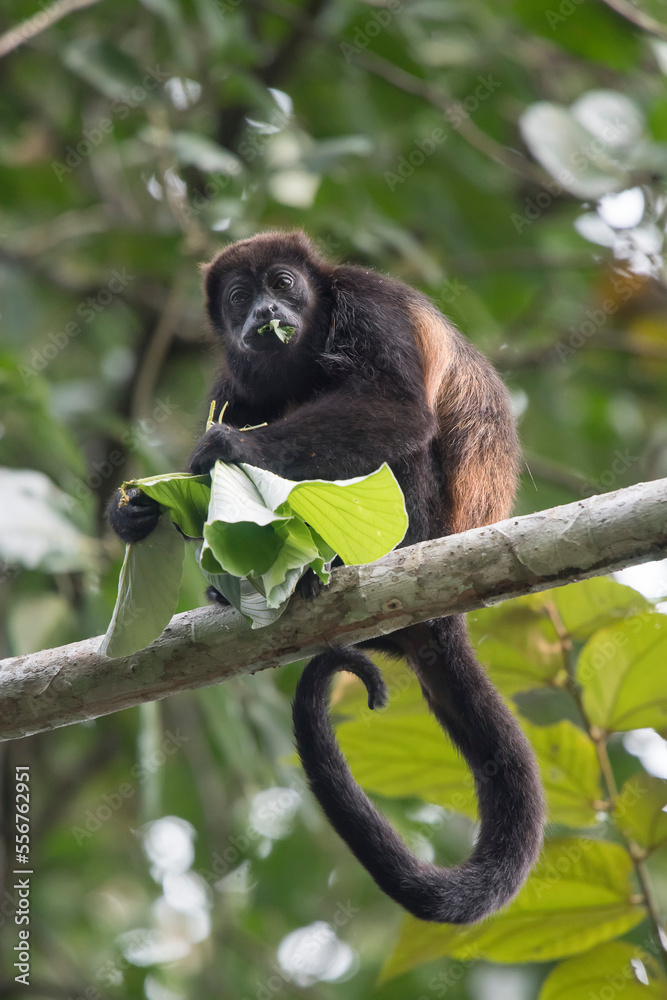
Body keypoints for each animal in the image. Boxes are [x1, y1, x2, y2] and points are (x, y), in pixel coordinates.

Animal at [107, 230, 545, 924]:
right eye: (239, 297)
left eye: (283, 283)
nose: (264, 313)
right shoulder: (235, 373)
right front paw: (136, 510)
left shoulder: (372, 306)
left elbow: (396, 409)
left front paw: (234, 453)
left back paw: (332, 567)